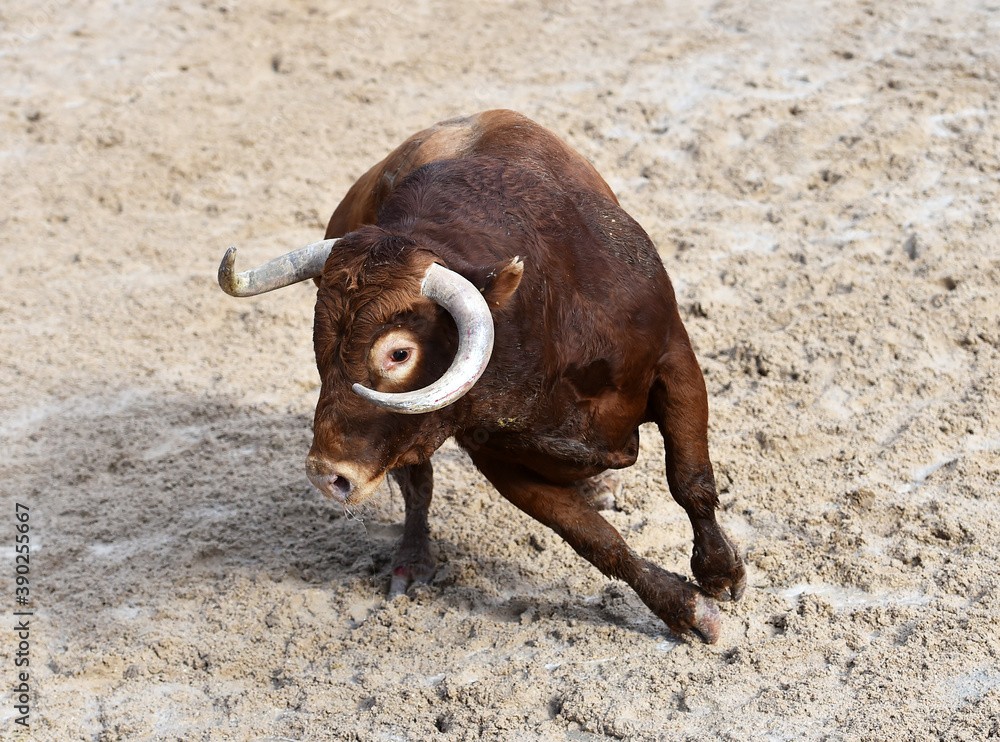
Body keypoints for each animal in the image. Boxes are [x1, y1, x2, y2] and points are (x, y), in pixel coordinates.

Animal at [218, 110, 746, 643]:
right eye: (319, 346)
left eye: (398, 353)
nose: (327, 475)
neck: (545, 322)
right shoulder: (495, 455)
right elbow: (594, 539)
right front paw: (688, 608)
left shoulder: (675, 361)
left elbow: (690, 480)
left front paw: (721, 575)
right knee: (417, 483)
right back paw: (412, 563)